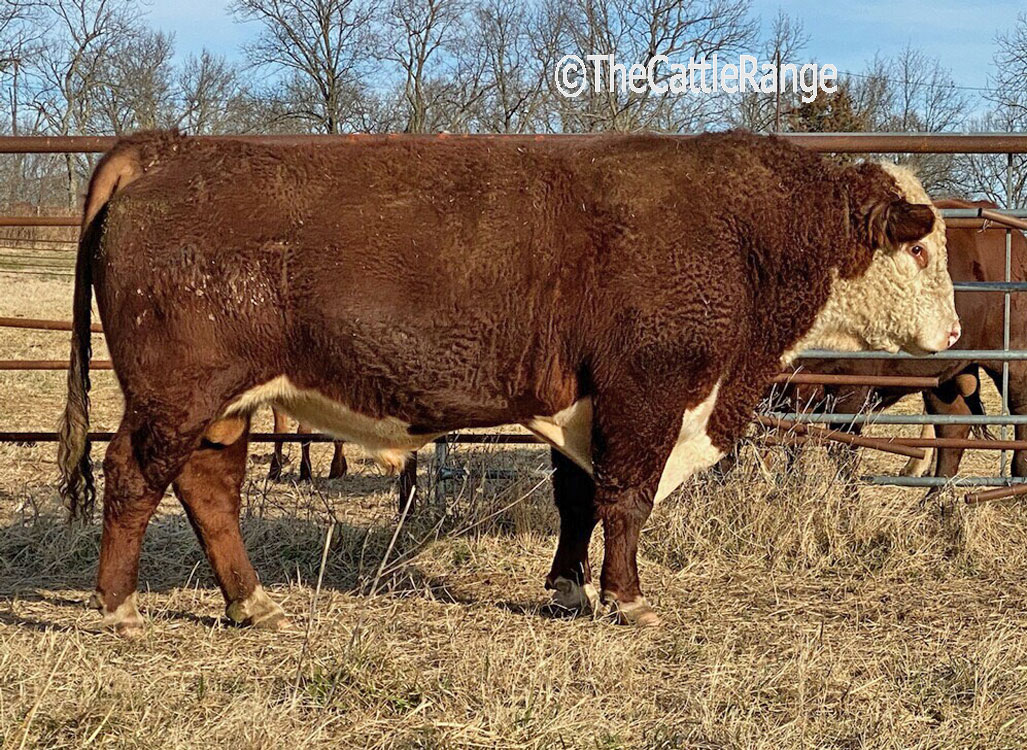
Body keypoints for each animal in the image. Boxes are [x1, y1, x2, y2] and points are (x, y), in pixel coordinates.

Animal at [56, 131, 959, 636]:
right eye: (917, 249)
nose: (951, 335)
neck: (745, 232)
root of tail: (172, 148)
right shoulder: (646, 395)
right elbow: (626, 500)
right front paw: (626, 599)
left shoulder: (586, 406)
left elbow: (578, 499)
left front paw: (565, 588)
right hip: (175, 396)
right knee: (132, 477)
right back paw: (119, 608)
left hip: (223, 406)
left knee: (209, 491)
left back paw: (253, 605)